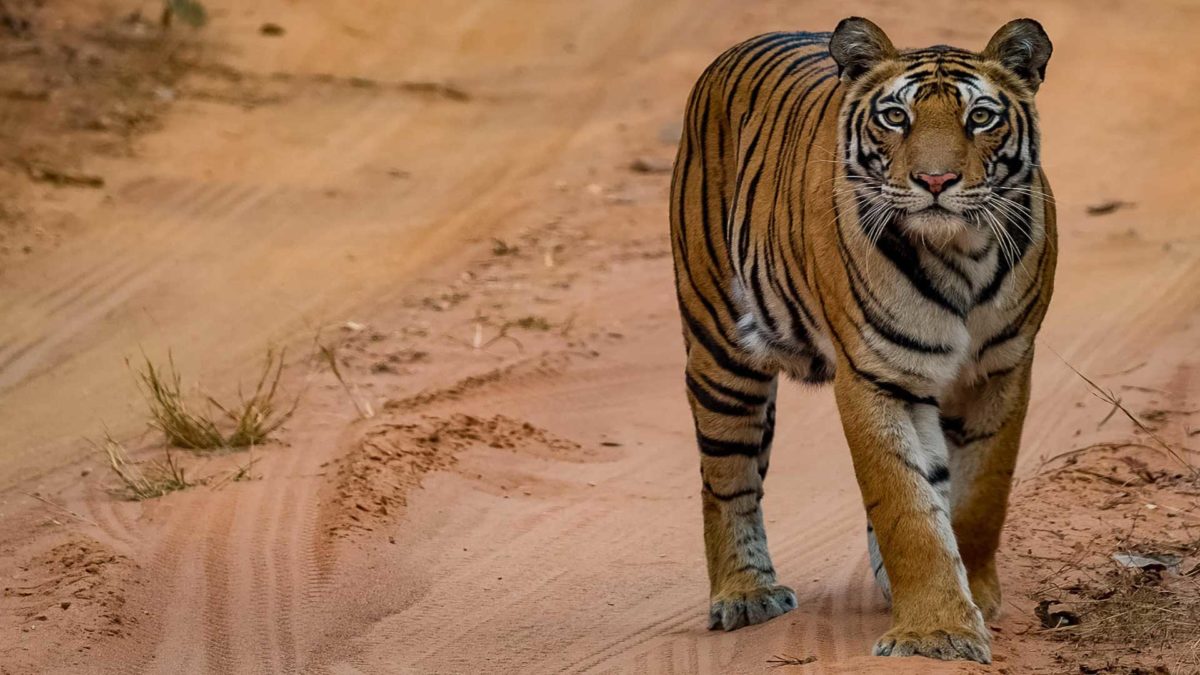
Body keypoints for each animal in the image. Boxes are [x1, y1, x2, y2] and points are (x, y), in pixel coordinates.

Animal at [669, 17, 1055, 663]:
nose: (935, 180)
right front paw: (936, 633)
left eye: (980, 117)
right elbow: (905, 505)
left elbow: (979, 496)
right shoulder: (876, 375)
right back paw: (745, 593)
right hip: (720, 350)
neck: (960, 254)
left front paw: (974, 596)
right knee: (725, 478)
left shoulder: (1003, 369)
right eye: (896, 117)